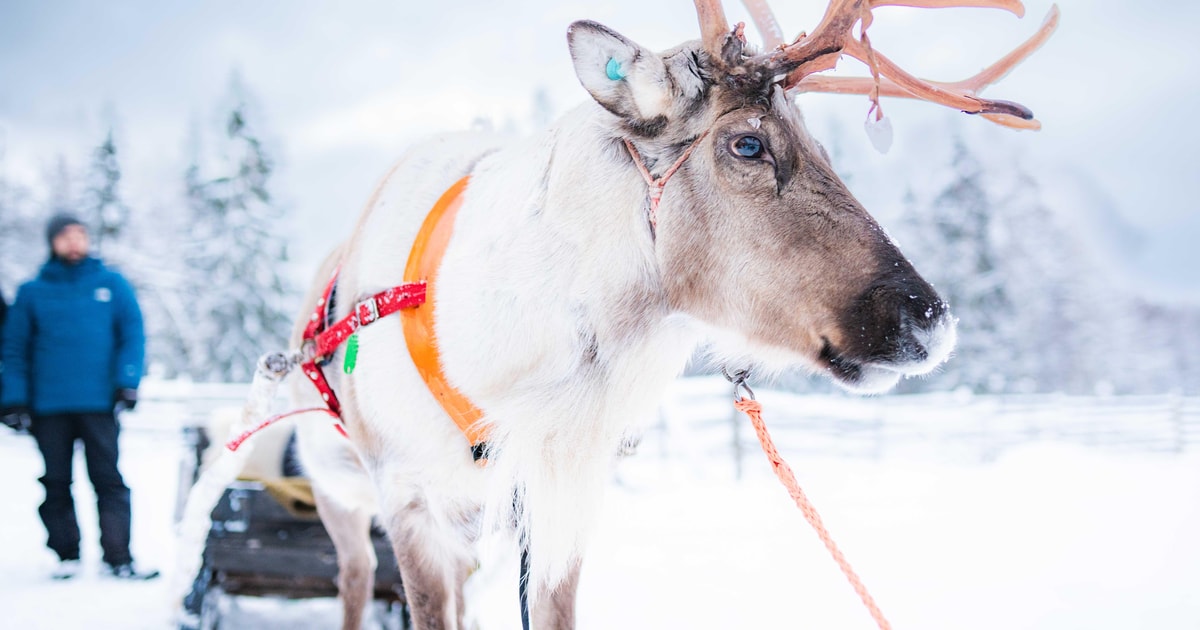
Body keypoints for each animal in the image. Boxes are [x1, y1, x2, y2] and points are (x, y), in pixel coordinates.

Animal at [268, 1, 1061, 628]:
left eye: (823, 147)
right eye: (748, 143)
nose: (930, 321)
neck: (510, 375)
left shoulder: (558, 496)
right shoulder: (409, 500)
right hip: (340, 497)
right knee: (353, 579)